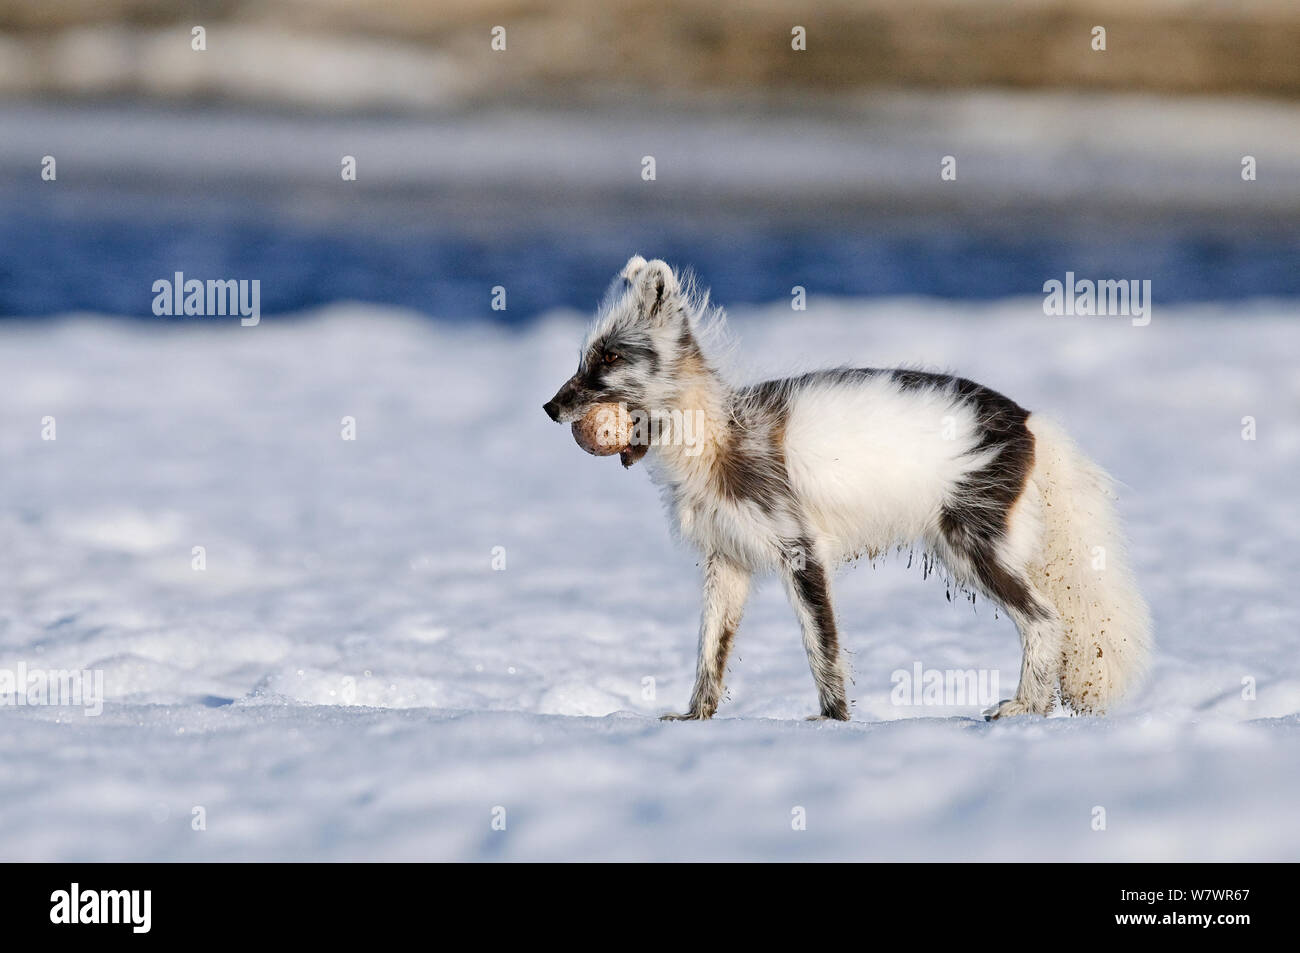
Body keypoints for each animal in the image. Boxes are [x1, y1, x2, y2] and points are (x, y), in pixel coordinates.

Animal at [543, 256, 1152, 721]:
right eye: (584, 356)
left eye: (608, 357)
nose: (550, 407)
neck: (717, 439)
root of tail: (1031, 422)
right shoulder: (726, 559)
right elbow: (710, 651)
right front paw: (695, 718)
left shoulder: (800, 550)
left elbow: (823, 648)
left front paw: (833, 723)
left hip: (971, 544)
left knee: (1046, 619)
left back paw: (1022, 710)